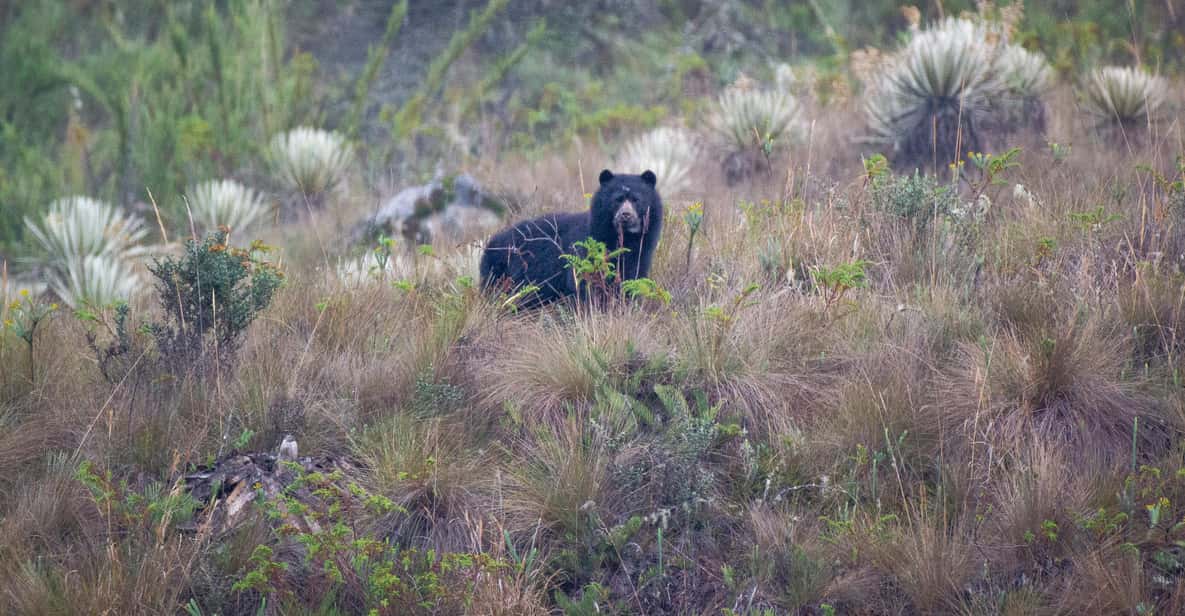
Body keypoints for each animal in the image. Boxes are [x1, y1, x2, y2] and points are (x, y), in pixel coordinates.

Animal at [479, 169, 663, 307]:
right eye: (617, 200)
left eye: (636, 200)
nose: (625, 215)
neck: (623, 239)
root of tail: (492, 243)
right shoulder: (587, 249)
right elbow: (584, 284)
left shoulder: (641, 253)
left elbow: (631, 280)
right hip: (504, 272)